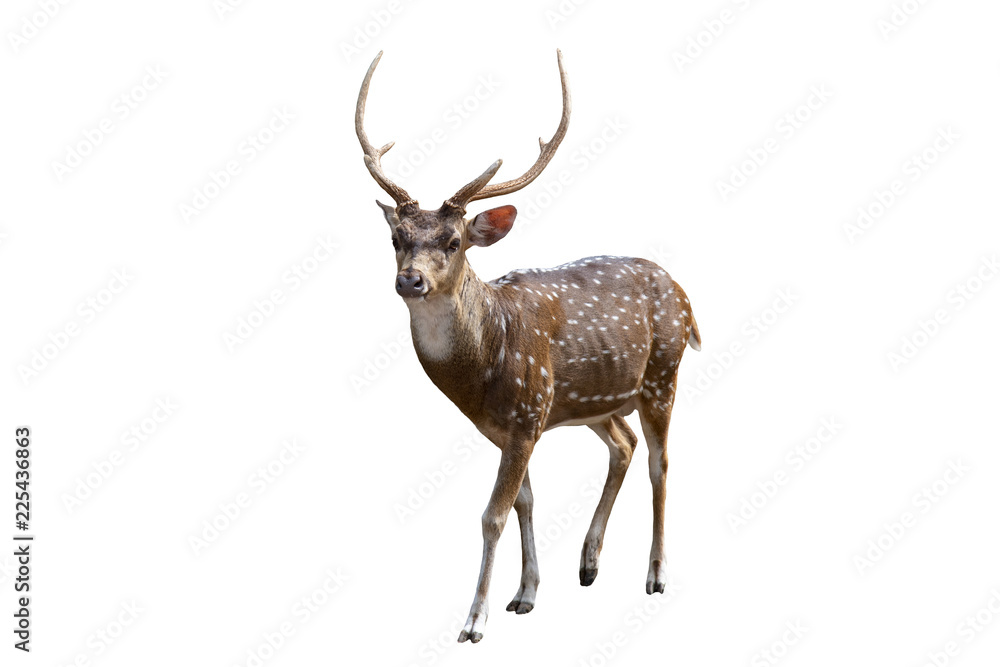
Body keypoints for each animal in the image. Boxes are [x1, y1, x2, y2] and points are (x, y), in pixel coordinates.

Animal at [355, 49, 700, 643]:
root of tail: (684, 294)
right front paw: (526, 594)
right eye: (396, 239)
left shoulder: (526, 410)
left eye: (454, 241)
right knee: (624, 444)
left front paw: (474, 620)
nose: (410, 280)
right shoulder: (507, 425)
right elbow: (525, 503)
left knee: (661, 460)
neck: (482, 371)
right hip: (596, 399)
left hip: (664, 372)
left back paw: (655, 575)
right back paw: (588, 563)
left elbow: (492, 514)